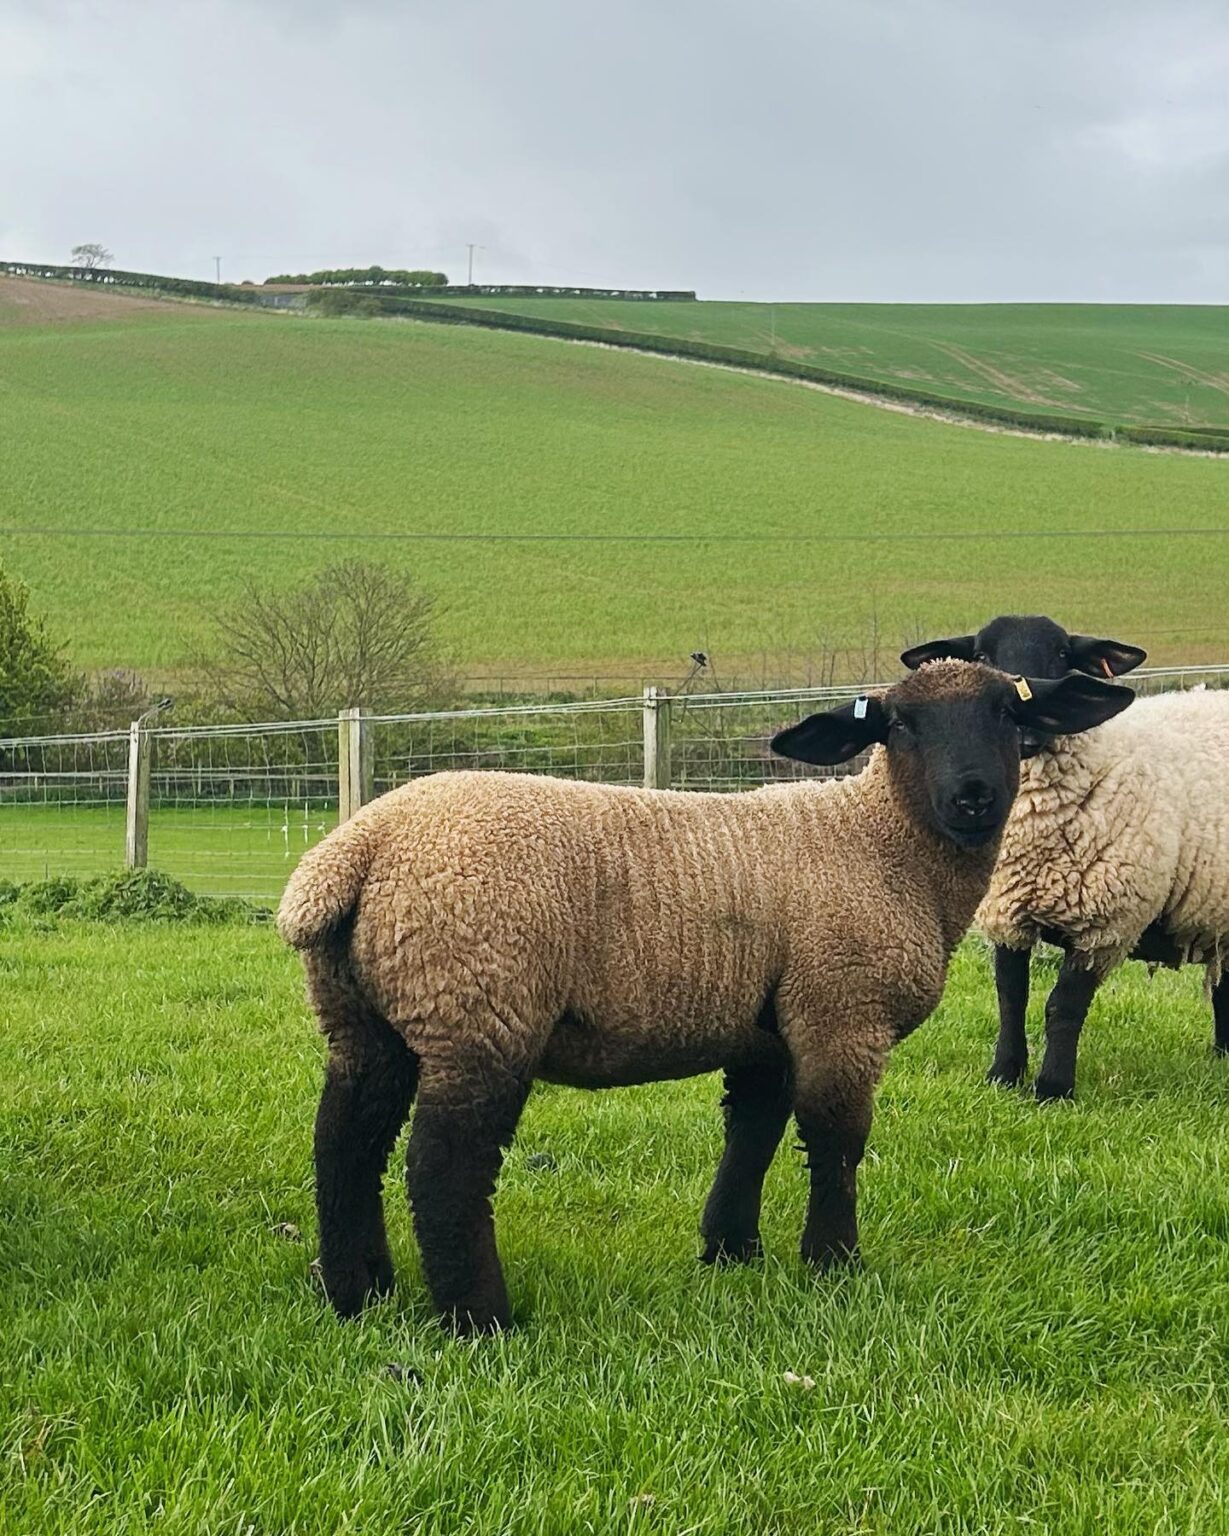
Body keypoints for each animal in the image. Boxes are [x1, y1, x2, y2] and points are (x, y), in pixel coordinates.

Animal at [277, 660, 1128, 1331]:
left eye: (1007, 712)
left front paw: (732, 1251)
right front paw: (833, 1263)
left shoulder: (771, 1031)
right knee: (442, 1165)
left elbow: (751, 1134)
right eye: (899, 726)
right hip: (480, 1003)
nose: (974, 796)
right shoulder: (841, 1010)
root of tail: (356, 852)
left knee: (344, 1143)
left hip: (367, 1017)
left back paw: (359, 1295)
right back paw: (480, 1318)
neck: (883, 845)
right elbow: (836, 1139)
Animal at [903, 614, 1229, 1100]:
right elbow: (1010, 995)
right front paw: (1003, 1075)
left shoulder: (1104, 922)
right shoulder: (1008, 911)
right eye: (981, 655)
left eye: (1061, 654)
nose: (1024, 731)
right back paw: (1222, 1055)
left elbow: (1064, 1006)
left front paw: (1053, 1088)